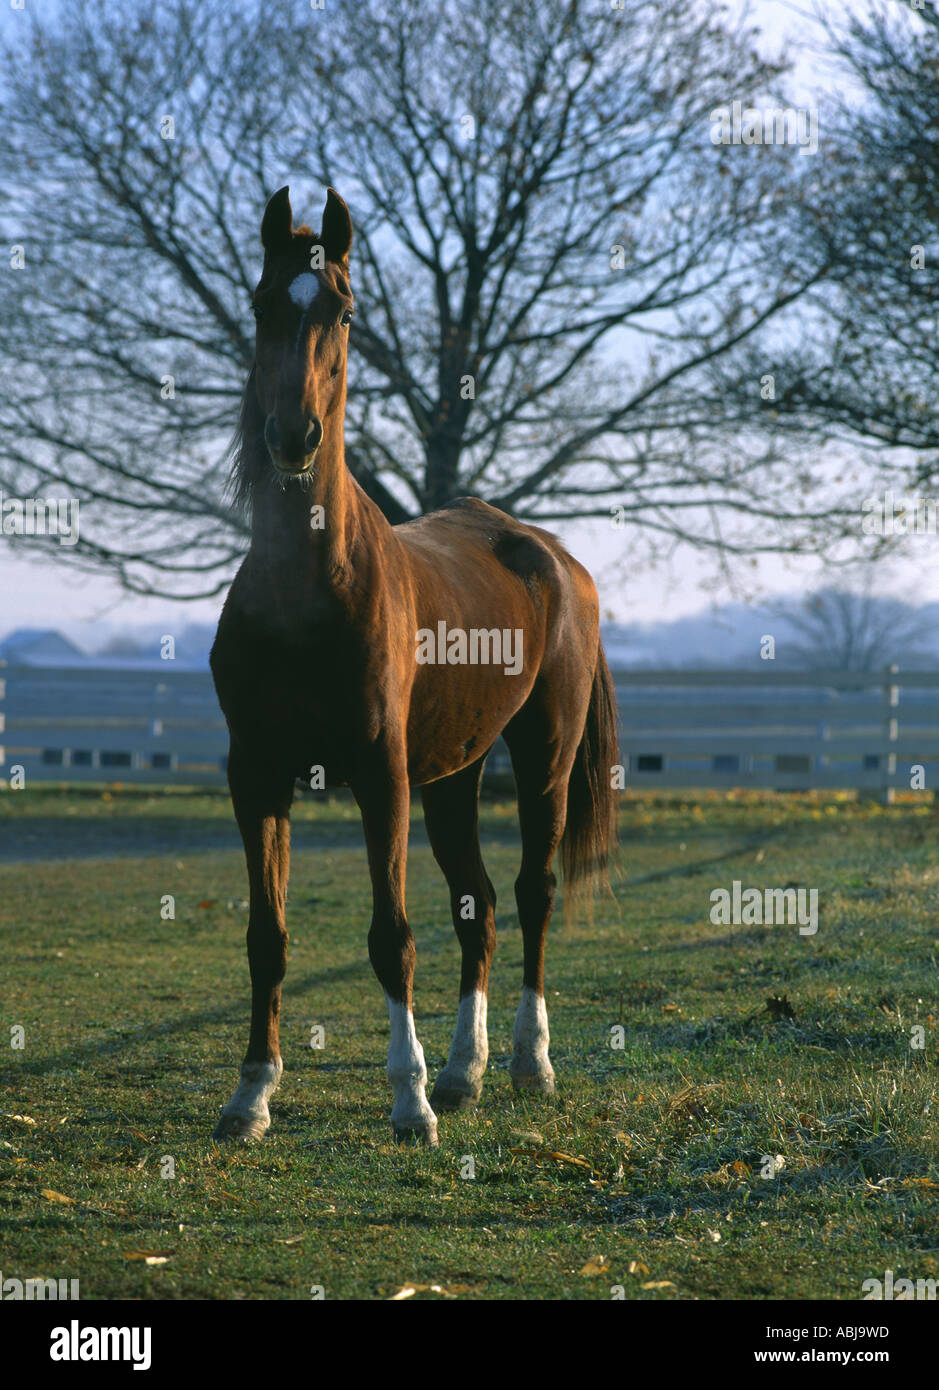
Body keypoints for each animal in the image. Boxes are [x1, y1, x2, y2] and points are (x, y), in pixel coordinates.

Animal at [210, 186, 618, 1145]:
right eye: (261, 304)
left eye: (344, 311)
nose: (292, 436)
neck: (307, 591)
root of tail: (551, 555)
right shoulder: (256, 776)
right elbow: (266, 939)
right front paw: (251, 1097)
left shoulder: (379, 774)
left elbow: (389, 936)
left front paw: (408, 1100)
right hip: (453, 778)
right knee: (481, 906)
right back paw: (467, 1072)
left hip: (539, 760)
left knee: (532, 893)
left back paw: (526, 1063)